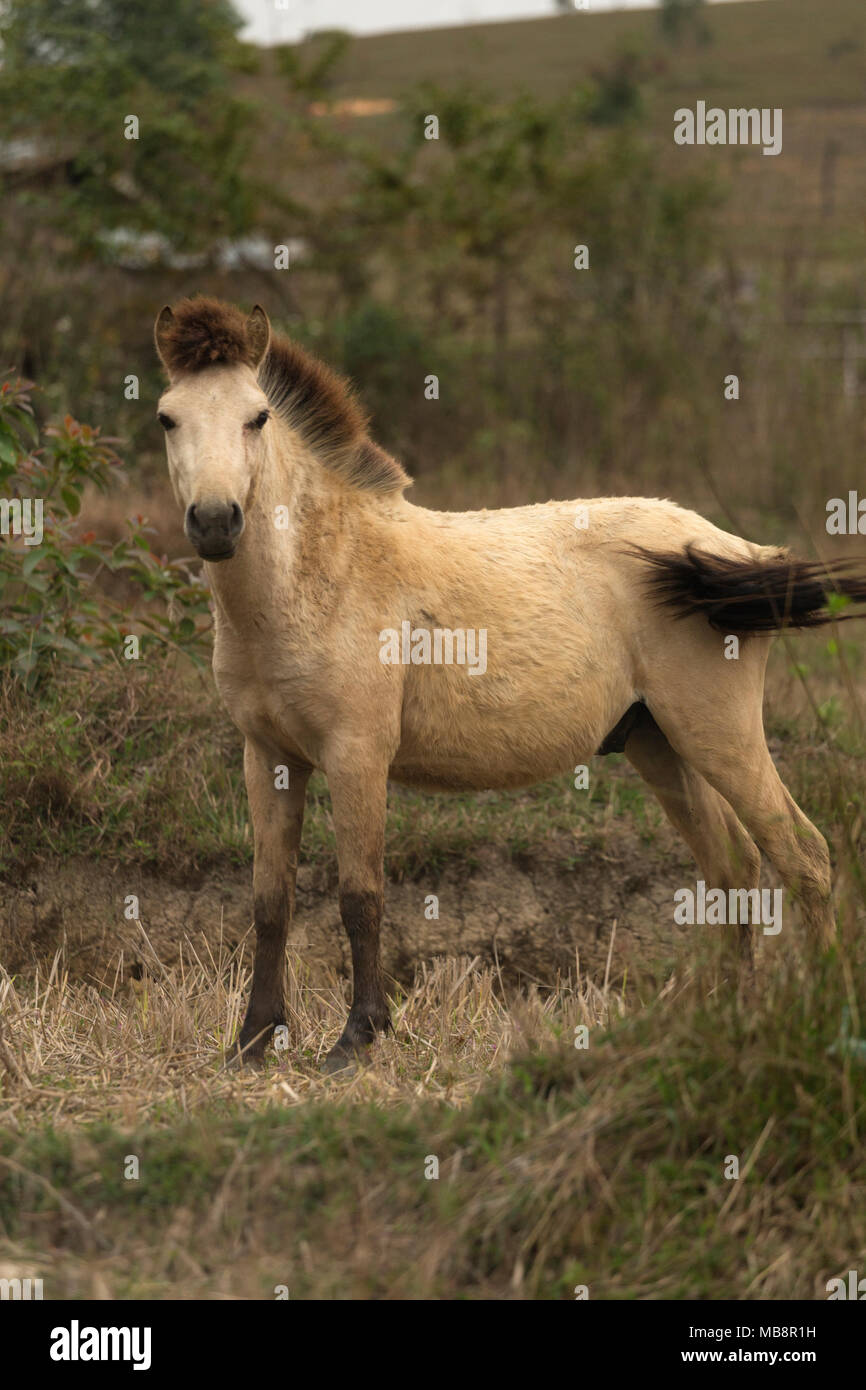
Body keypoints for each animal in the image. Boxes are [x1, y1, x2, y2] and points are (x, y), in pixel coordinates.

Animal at [154, 295, 866, 1071]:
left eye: (257, 417)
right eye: (167, 417)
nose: (215, 521)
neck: (321, 571)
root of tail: (731, 549)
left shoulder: (356, 757)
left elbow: (359, 895)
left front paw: (358, 1037)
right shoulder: (268, 759)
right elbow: (269, 900)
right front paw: (252, 1041)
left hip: (718, 735)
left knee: (803, 856)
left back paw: (824, 1014)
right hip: (660, 746)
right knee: (733, 866)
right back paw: (728, 1020)